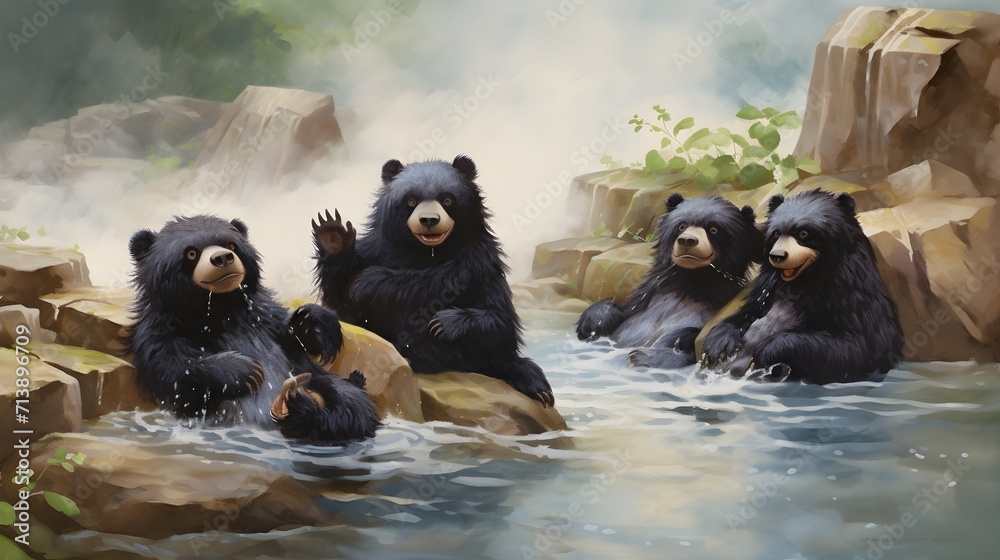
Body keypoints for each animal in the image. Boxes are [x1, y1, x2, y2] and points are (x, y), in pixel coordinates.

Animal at [126, 215, 380, 443]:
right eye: (191, 253)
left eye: (231, 245)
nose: (222, 257)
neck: (220, 307)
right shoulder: (162, 327)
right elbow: (172, 366)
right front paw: (245, 370)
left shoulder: (261, 315)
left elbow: (293, 335)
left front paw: (311, 322)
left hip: (317, 379)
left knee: (352, 404)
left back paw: (298, 408)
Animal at [312, 155, 554, 406]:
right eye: (411, 201)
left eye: (447, 199)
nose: (429, 220)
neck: (428, 253)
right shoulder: (376, 250)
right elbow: (341, 300)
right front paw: (333, 237)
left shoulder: (480, 265)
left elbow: (500, 321)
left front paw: (442, 323)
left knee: (509, 361)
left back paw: (538, 388)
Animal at [576, 193, 762, 369]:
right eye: (682, 225)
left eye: (714, 229)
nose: (687, 240)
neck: (693, 280)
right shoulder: (648, 297)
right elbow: (617, 312)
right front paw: (597, 320)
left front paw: (718, 344)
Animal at [701, 188, 903, 383]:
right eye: (776, 233)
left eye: (803, 233)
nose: (777, 256)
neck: (804, 280)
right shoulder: (769, 287)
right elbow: (749, 311)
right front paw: (717, 346)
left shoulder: (851, 291)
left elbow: (860, 346)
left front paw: (764, 353)